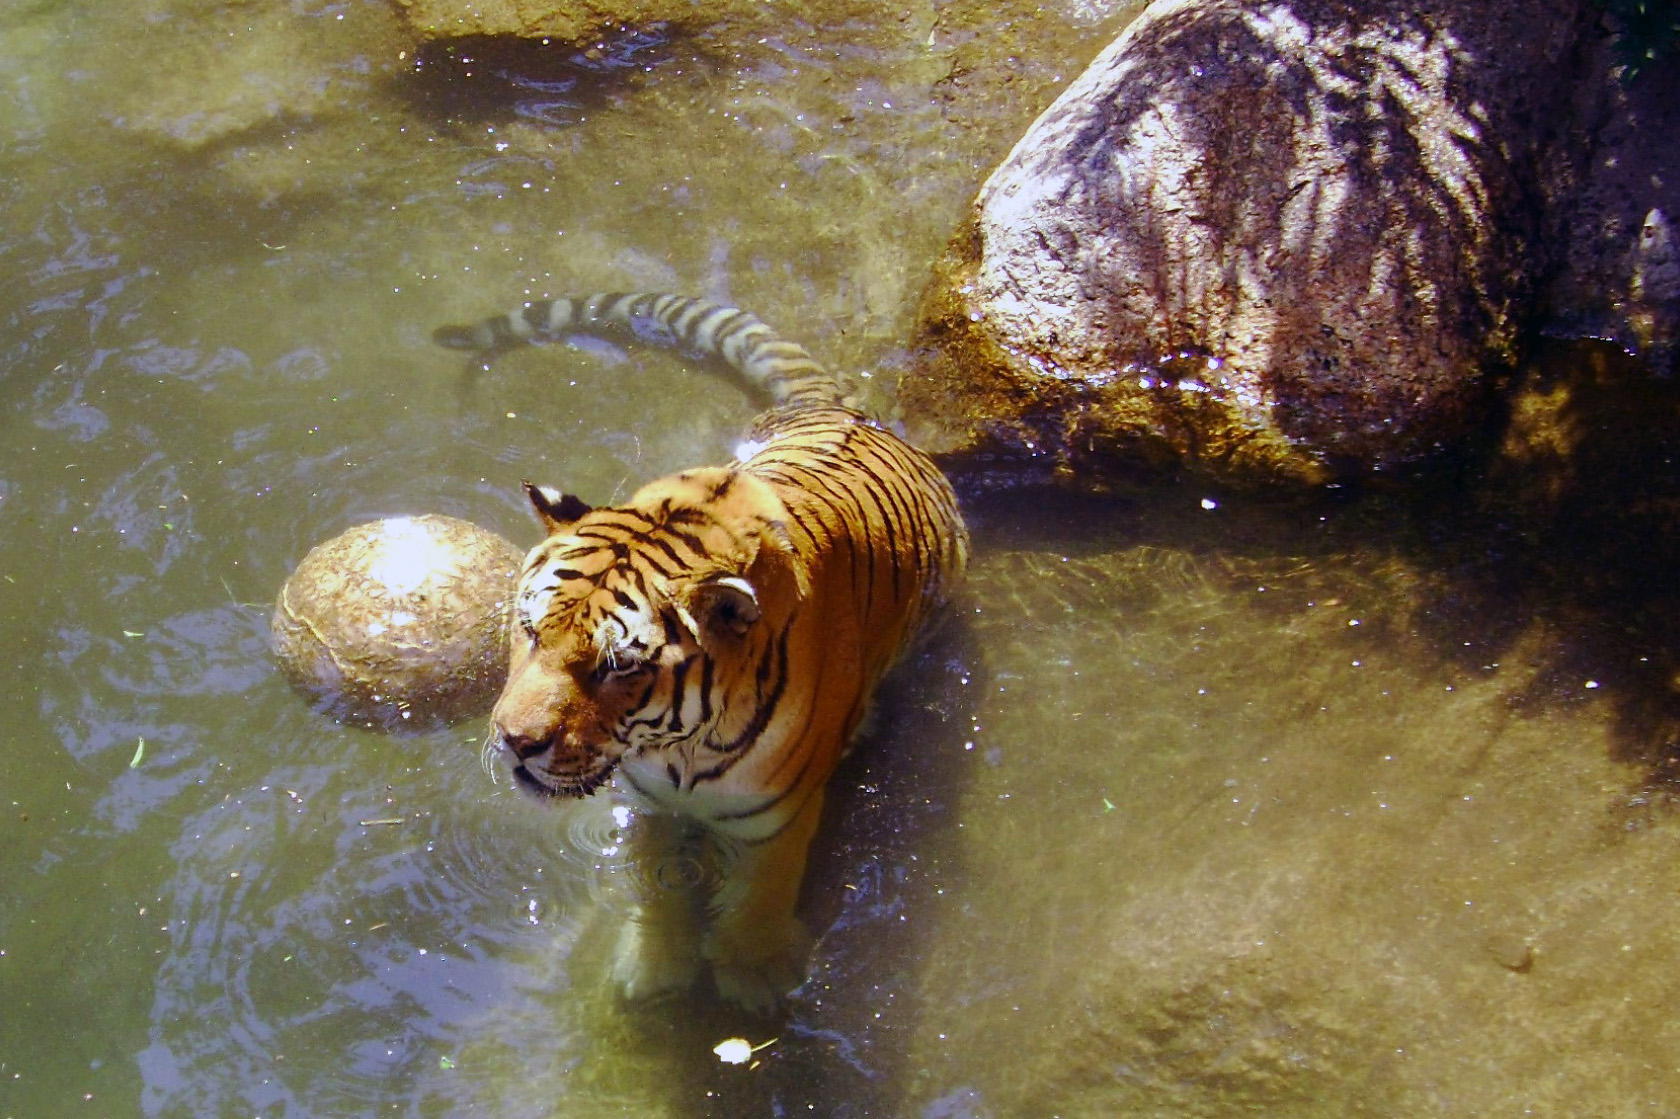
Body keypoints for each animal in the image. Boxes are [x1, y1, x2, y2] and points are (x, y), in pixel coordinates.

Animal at [433, 292, 968, 1012]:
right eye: (530, 630)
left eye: (617, 667)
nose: (515, 742)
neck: (678, 744)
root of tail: (837, 408)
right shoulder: (649, 804)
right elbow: (654, 887)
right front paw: (654, 971)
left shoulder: (776, 818)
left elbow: (762, 893)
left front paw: (754, 975)